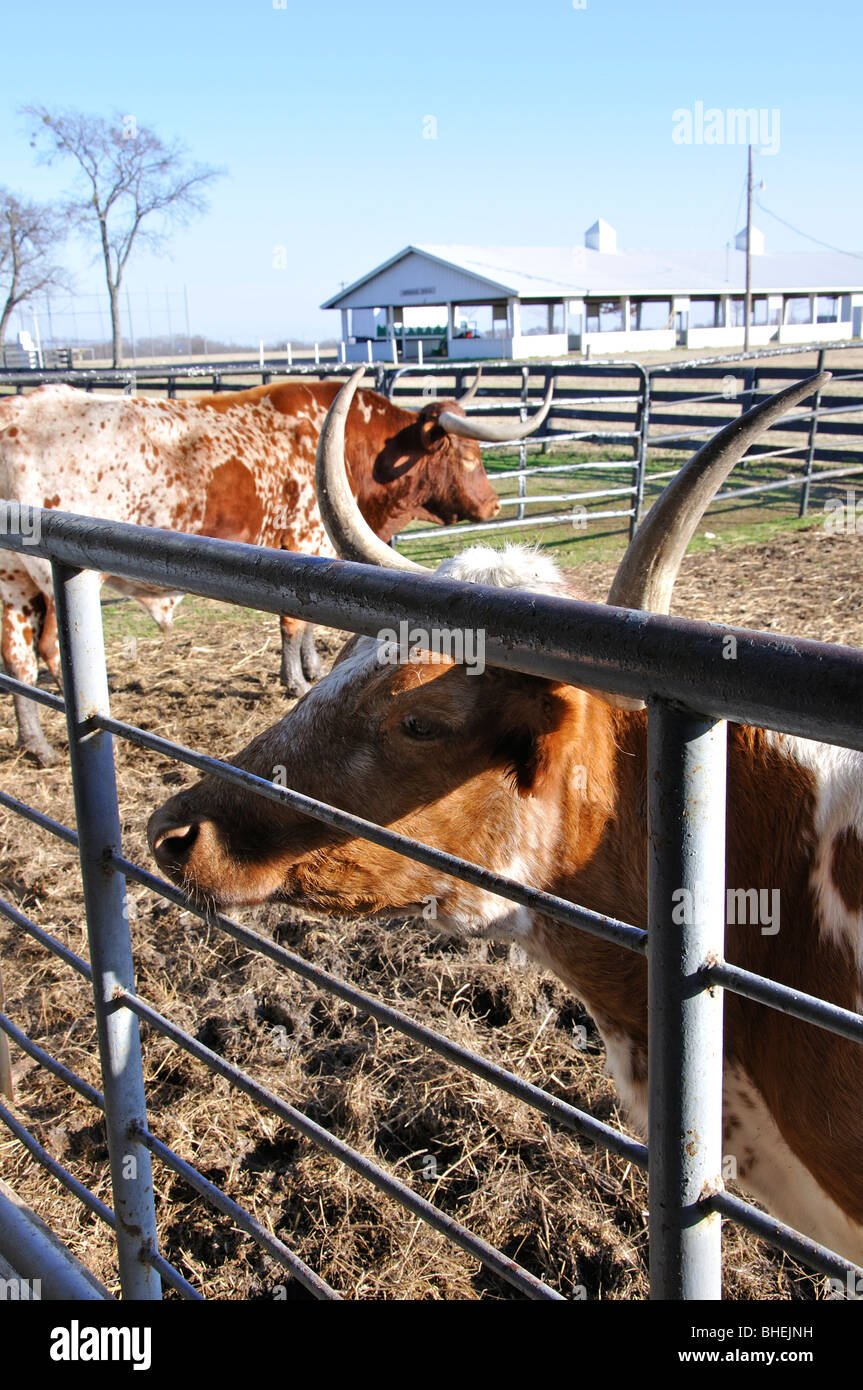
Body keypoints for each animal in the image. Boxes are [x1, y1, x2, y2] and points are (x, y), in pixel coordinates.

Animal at [0, 371, 552, 765]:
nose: (494, 506)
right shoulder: (303, 540)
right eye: (468, 453)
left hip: (17, 582)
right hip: (47, 576)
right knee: (44, 652)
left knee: (24, 655)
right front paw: (296, 681)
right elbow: (294, 622)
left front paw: (310, 667)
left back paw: (37, 740)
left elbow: (307, 623)